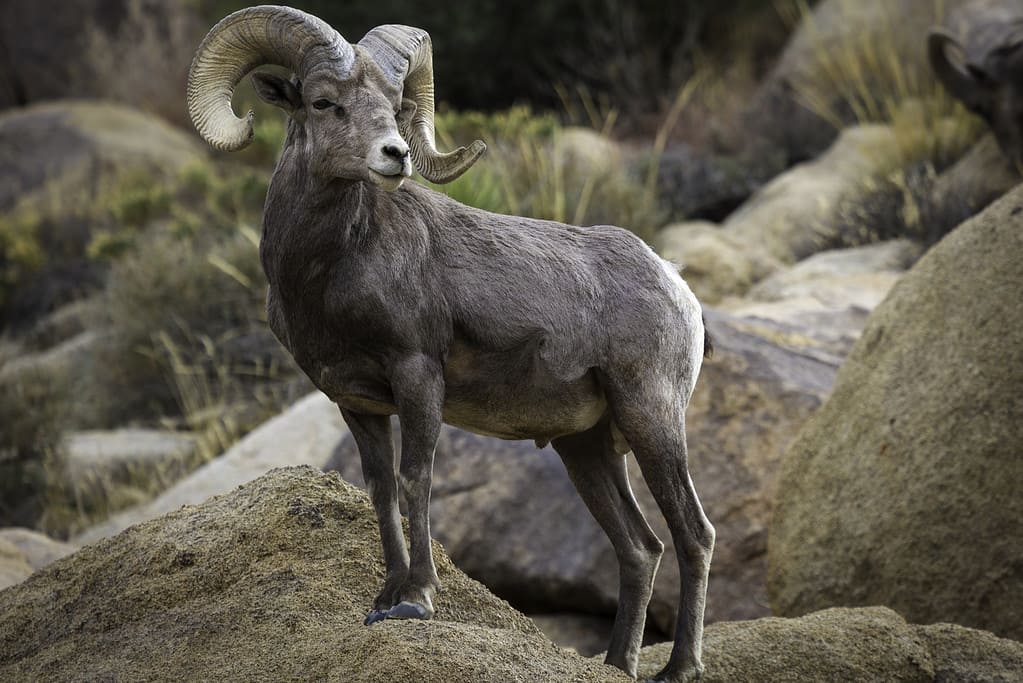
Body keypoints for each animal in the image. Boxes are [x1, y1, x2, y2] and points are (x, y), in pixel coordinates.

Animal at [187, 6, 714, 682]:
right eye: (325, 102)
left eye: (393, 106)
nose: (396, 155)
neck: (330, 270)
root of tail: (676, 284)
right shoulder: (357, 403)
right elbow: (381, 489)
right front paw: (384, 601)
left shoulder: (417, 378)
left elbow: (417, 479)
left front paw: (417, 600)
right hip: (586, 447)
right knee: (639, 548)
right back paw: (618, 663)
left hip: (651, 419)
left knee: (693, 534)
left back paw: (680, 667)